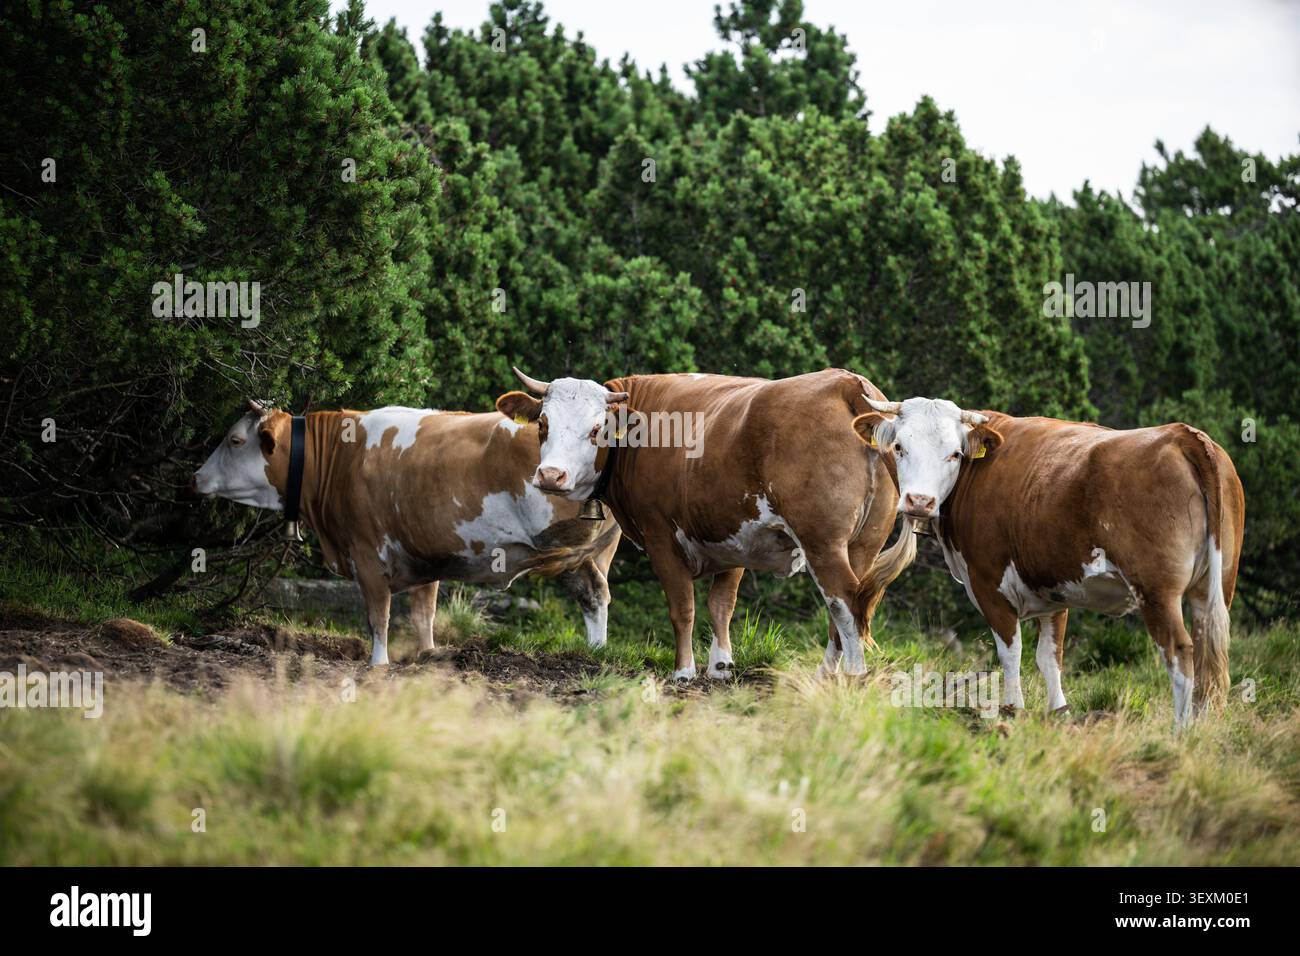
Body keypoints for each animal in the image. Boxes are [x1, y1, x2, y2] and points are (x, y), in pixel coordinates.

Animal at [193, 401, 621, 666]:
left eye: (235, 440)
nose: (196, 477)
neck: (341, 455)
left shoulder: (366, 552)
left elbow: (378, 616)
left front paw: (378, 662)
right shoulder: (427, 553)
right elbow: (423, 615)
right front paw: (427, 655)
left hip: (572, 548)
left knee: (594, 592)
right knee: (594, 595)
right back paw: (596, 653)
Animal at [495, 368, 918, 680]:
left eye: (596, 430)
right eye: (543, 424)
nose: (551, 476)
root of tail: (845, 381)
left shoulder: (661, 537)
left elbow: (683, 607)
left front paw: (684, 671)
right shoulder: (733, 536)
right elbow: (721, 605)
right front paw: (719, 666)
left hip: (823, 544)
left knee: (844, 603)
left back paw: (850, 676)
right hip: (862, 545)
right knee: (850, 605)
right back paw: (826, 675)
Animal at [849, 397, 1245, 728]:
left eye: (955, 454)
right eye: (900, 447)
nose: (919, 501)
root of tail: (1183, 435)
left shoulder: (989, 583)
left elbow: (1011, 651)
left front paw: (1013, 709)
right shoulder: (1053, 589)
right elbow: (1049, 657)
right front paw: (1058, 713)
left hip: (1157, 591)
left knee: (1179, 652)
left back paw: (1181, 732)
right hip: (1213, 589)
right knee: (1209, 655)